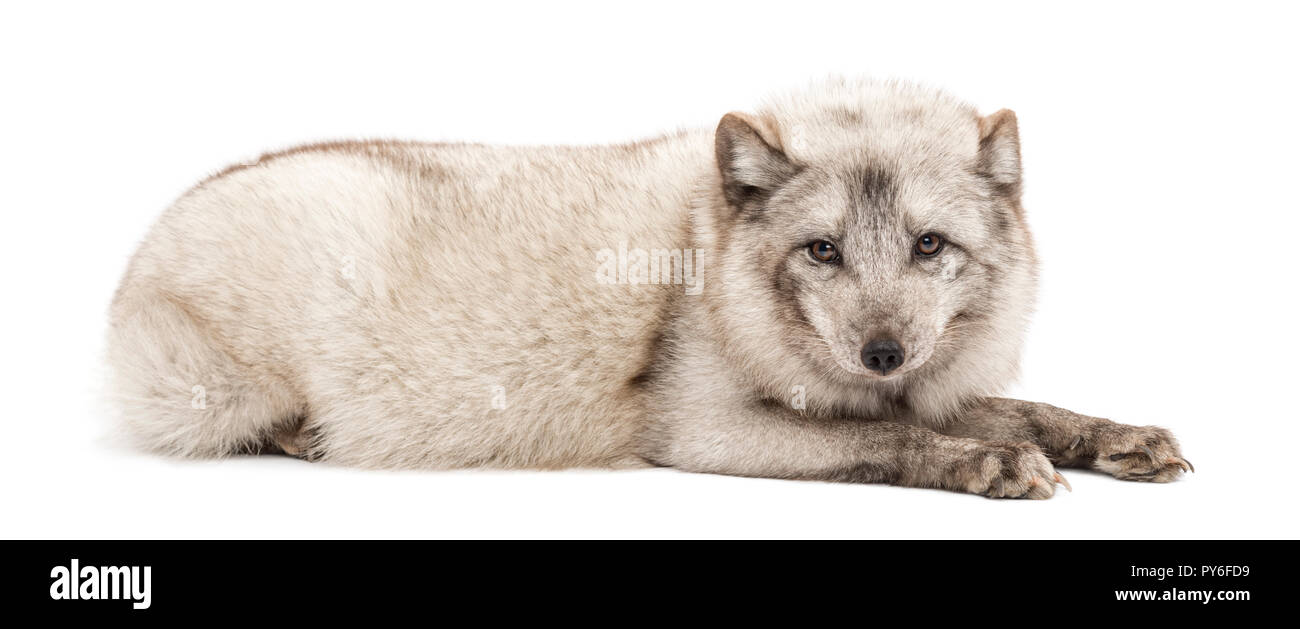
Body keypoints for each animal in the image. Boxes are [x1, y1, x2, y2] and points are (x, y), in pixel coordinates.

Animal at [107, 78, 1191, 499]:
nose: (882, 351)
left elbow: (1026, 408)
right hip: (223, 381)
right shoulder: (696, 427)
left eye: (930, 245)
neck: (701, 261)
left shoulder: (916, 381)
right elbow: (885, 439)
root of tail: (140, 248)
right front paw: (987, 462)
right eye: (822, 251)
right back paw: (304, 434)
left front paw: (1115, 436)